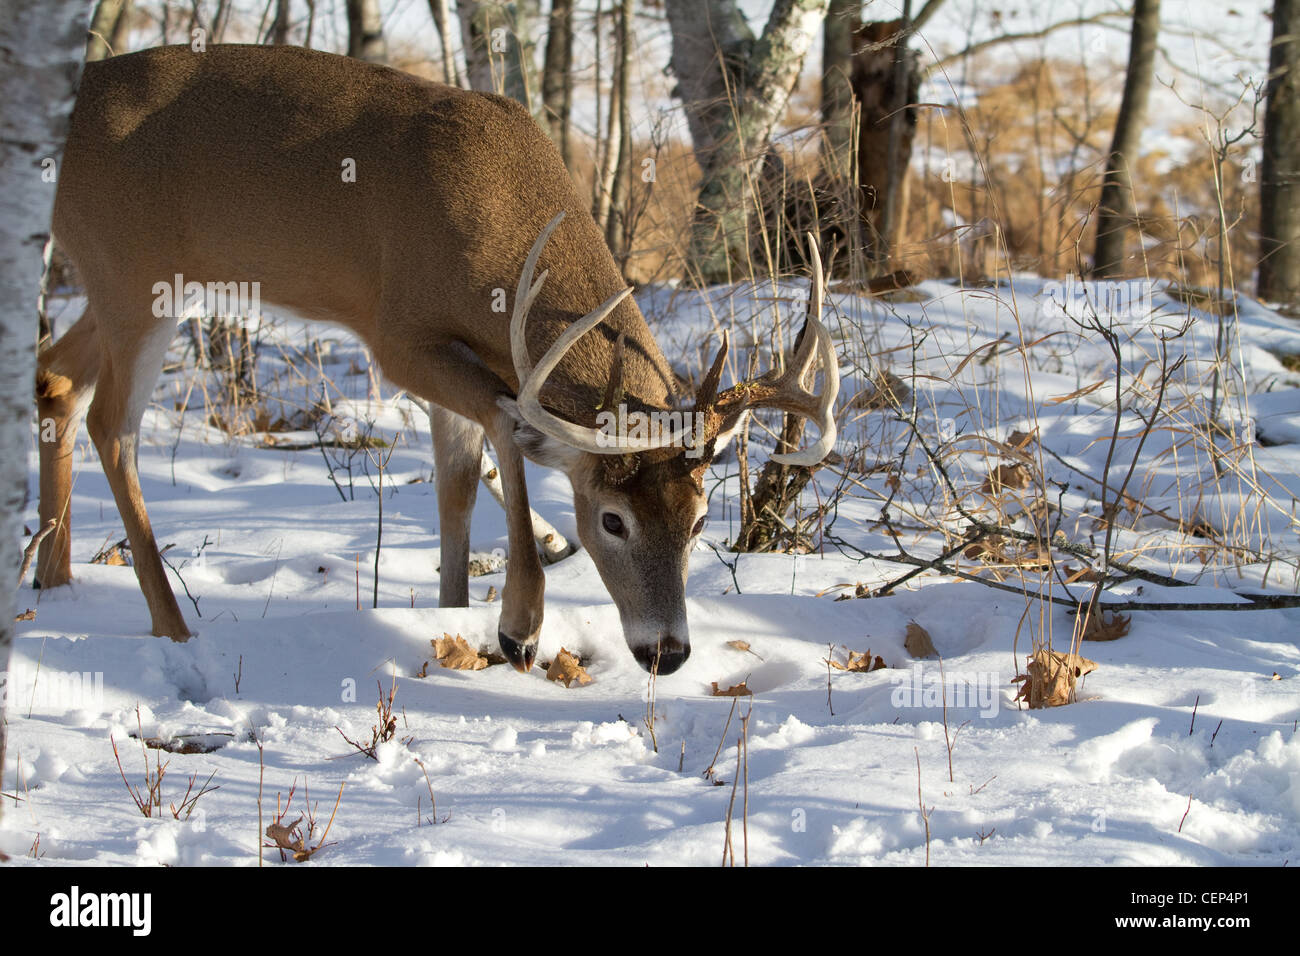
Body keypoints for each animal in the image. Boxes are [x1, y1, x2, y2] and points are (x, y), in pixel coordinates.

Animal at [35, 44, 839, 676]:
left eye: (700, 521)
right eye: (612, 522)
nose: (667, 653)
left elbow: (456, 484)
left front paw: (458, 618)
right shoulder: (397, 338)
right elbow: (506, 429)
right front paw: (518, 628)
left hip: (121, 280)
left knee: (54, 377)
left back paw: (52, 580)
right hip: (133, 273)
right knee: (113, 424)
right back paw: (171, 625)